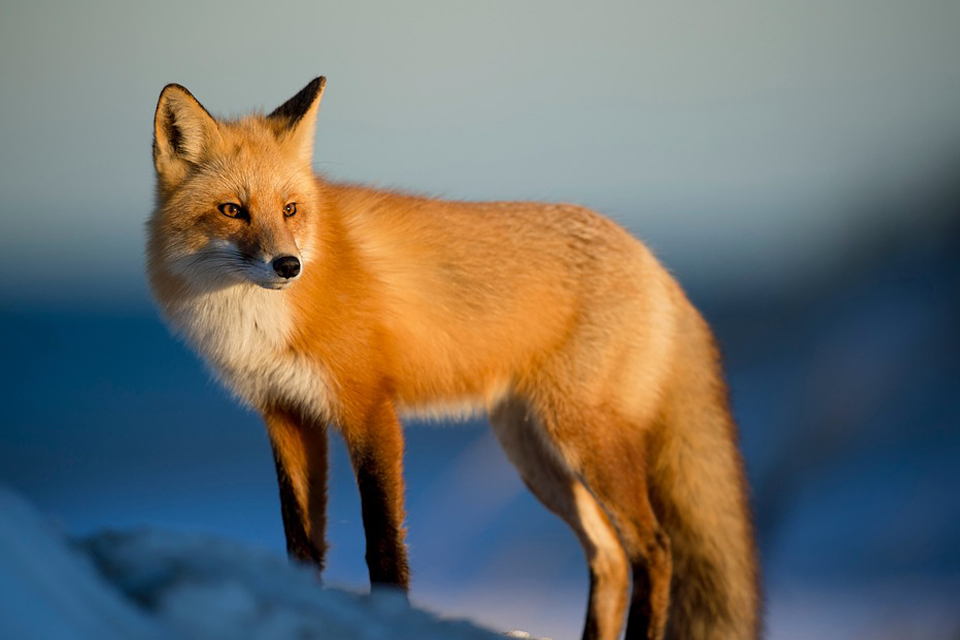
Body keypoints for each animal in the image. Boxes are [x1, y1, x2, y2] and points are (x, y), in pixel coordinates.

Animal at [147, 76, 760, 640]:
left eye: (290, 209)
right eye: (233, 210)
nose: (288, 265)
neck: (257, 320)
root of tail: (655, 263)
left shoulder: (369, 409)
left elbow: (383, 544)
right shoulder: (286, 413)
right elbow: (301, 542)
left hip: (582, 439)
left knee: (654, 549)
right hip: (535, 455)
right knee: (609, 556)